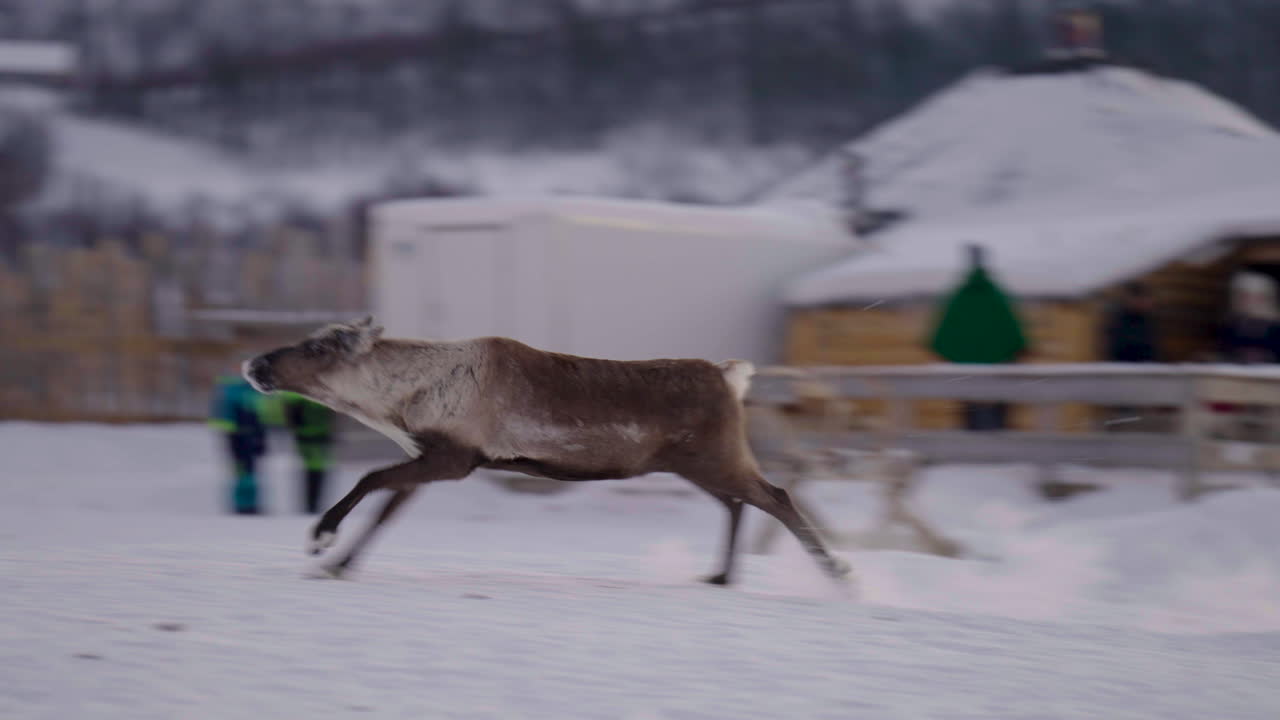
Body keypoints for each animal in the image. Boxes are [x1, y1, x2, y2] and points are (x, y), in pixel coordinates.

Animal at [242, 317, 851, 587]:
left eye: (317, 348)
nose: (254, 364)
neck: (400, 403)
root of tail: (731, 377)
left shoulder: (453, 459)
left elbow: (369, 480)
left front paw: (322, 537)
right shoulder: (437, 459)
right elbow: (386, 511)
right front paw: (341, 562)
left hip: (715, 456)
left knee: (776, 495)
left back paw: (839, 570)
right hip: (700, 462)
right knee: (738, 502)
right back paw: (721, 575)